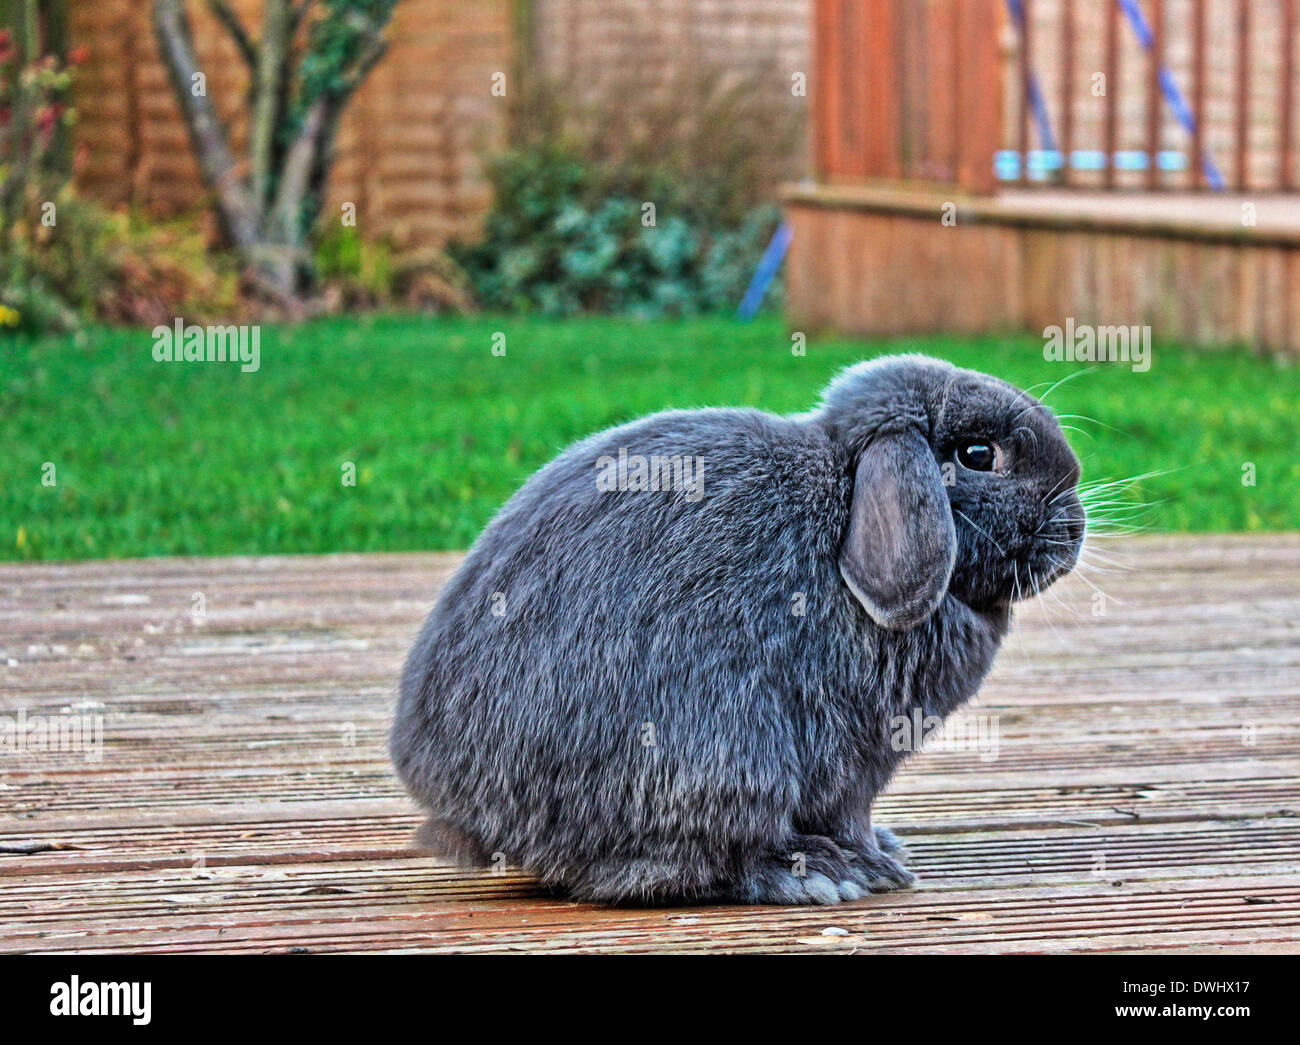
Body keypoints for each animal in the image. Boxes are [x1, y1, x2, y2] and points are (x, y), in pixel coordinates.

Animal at [391, 354, 1085, 905]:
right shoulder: (853, 756)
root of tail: (459, 805)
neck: (843, 497)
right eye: (979, 456)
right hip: (729, 752)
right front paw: (877, 863)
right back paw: (811, 874)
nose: (1075, 527)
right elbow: (850, 813)